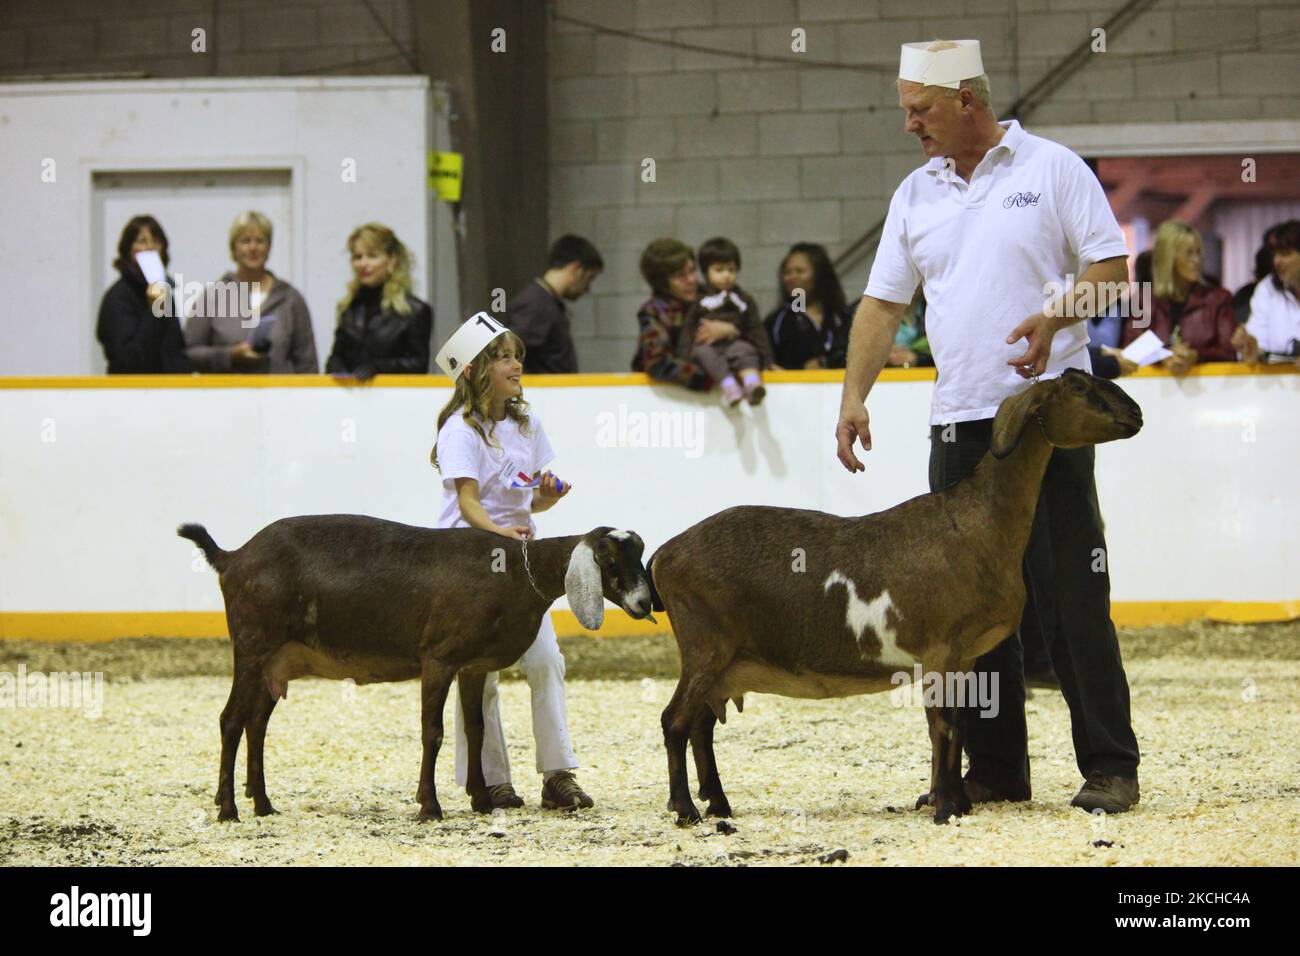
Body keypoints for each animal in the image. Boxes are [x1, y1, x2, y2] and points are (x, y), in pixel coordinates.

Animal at [177, 516, 654, 822]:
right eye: (608, 558)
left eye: (641, 553)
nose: (644, 603)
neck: (517, 574)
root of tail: (232, 557)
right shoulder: (438, 659)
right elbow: (434, 733)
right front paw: (430, 807)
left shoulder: (473, 665)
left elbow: (476, 730)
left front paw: (482, 801)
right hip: (252, 647)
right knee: (230, 721)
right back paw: (229, 810)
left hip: (274, 661)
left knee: (255, 724)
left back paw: (262, 804)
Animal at [647, 370, 1143, 825]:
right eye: (1077, 387)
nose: (1137, 414)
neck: (977, 523)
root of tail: (664, 554)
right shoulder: (940, 647)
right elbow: (941, 727)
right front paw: (944, 807)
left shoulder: (964, 656)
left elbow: (956, 728)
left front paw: (956, 801)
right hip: (706, 644)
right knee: (675, 721)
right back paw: (685, 809)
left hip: (724, 660)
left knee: (700, 726)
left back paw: (718, 803)